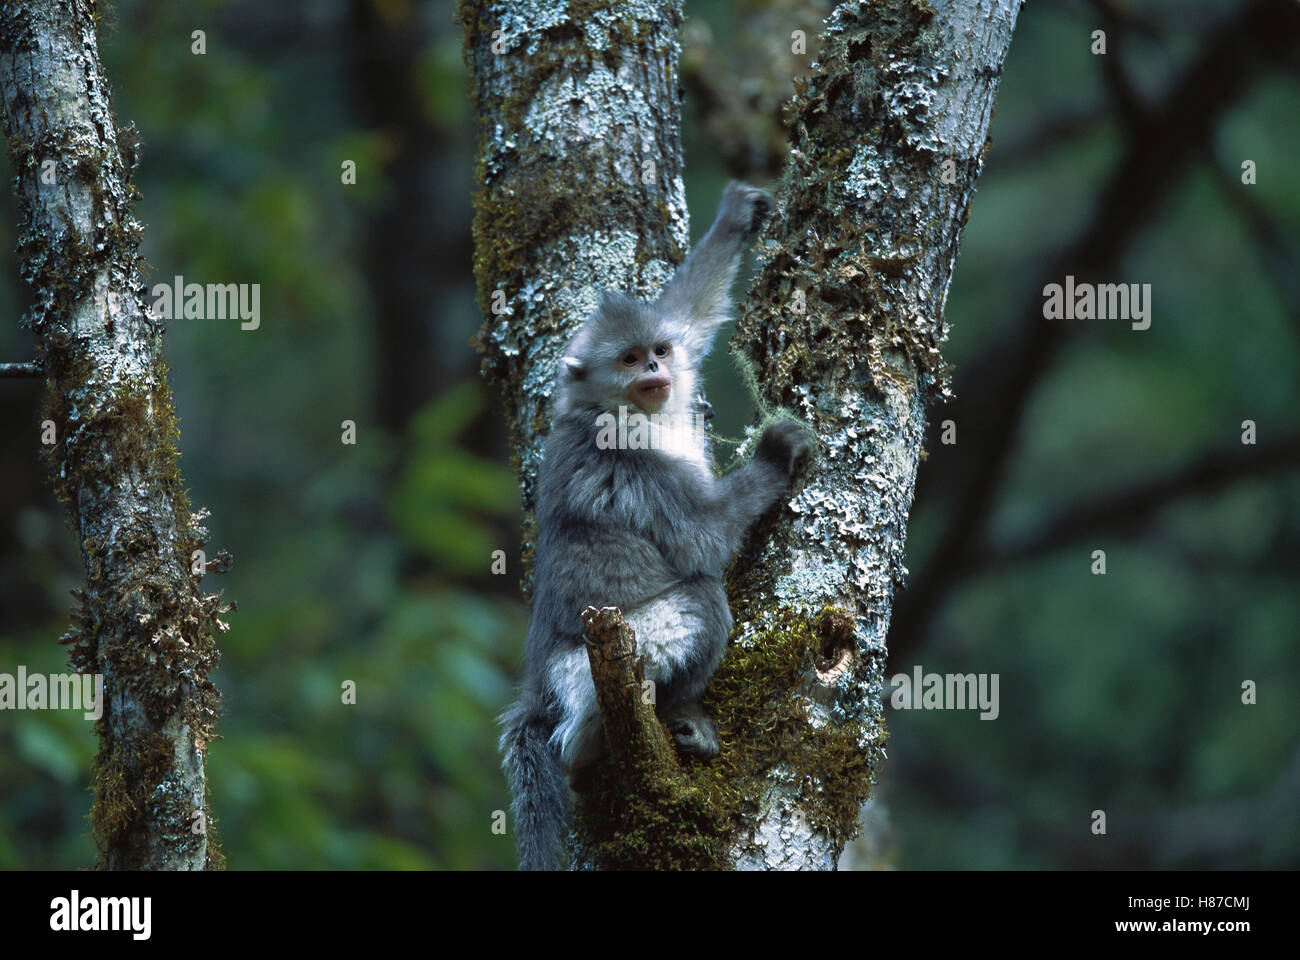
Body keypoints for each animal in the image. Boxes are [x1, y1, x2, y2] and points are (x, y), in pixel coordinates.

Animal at [498, 182, 811, 871]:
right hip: (616, 652)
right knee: (701, 596)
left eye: (659, 350)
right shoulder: (631, 464)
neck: (628, 412)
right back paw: (601, 739)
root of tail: (541, 681)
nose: (655, 374)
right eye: (628, 358)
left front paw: (738, 215)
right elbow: (702, 536)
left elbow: (690, 313)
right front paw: (775, 453)